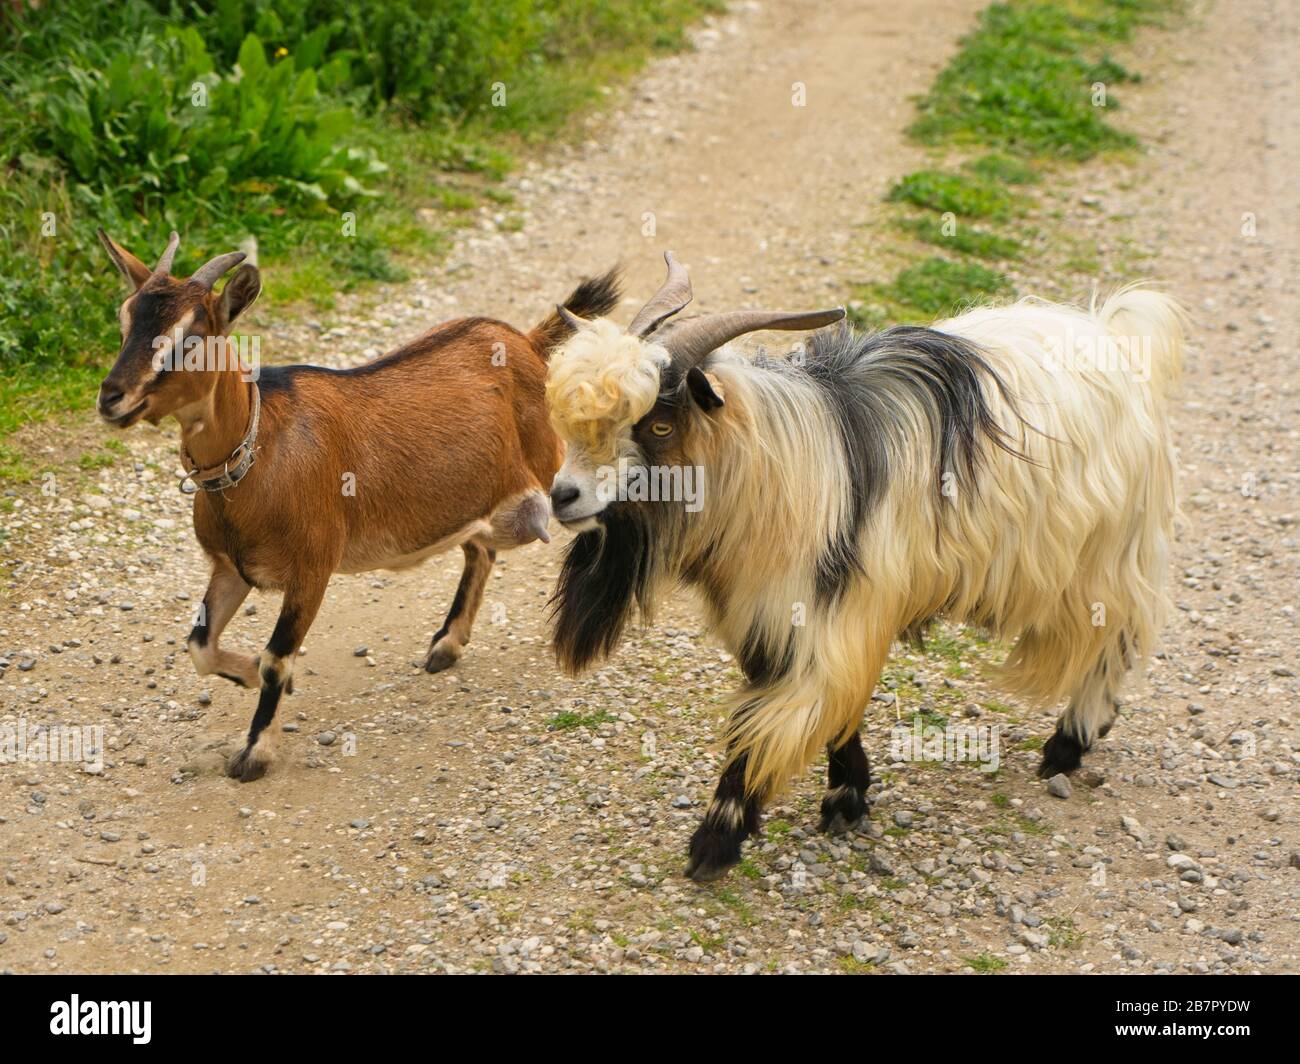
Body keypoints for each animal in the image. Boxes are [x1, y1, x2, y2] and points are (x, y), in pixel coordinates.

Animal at [96, 228, 619, 781]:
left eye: (191, 337)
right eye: (124, 320)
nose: (111, 397)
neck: (257, 453)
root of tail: (527, 342)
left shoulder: (312, 567)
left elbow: (276, 658)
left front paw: (255, 751)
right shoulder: (231, 567)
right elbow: (200, 646)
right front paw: (249, 679)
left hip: (552, 470)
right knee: (481, 549)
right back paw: (446, 644)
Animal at [545, 253, 1183, 881]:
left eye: (659, 425)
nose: (563, 496)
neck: (776, 474)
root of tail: (1114, 333)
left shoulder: (829, 615)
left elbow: (768, 726)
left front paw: (714, 843)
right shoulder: (775, 618)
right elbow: (834, 710)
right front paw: (847, 796)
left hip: (1103, 554)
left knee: (1115, 635)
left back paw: (1070, 743)